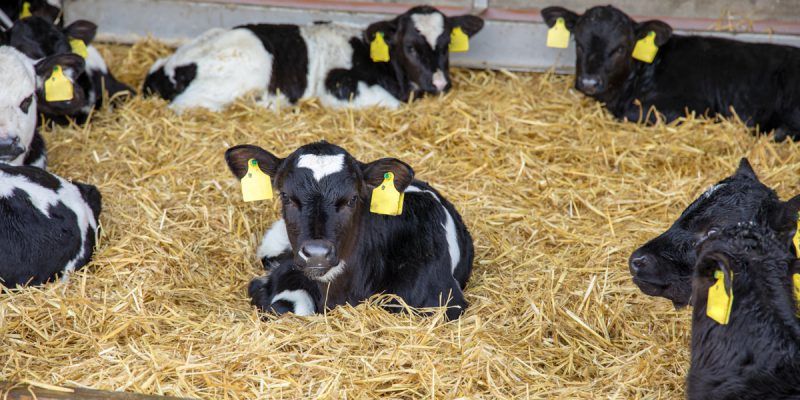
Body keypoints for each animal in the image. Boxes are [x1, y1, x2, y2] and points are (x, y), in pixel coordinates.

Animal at [144, 6, 484, 112]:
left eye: (446, 45)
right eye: (411, 47)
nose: (440, 83)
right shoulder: (338, 84)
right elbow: (391, 104)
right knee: (188, 105)